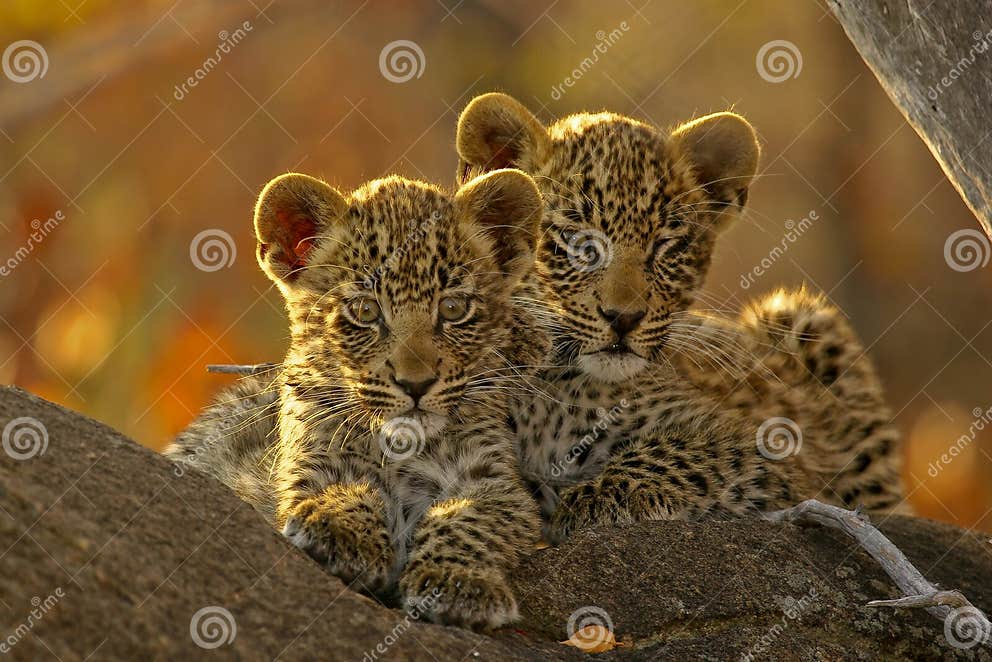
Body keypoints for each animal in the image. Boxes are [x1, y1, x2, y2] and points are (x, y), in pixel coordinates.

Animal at [166, 167, 548, 629]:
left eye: (454, 309)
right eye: (365, 311)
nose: (415, 384)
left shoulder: (496, 482)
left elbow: (470, 519)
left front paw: (459, 585)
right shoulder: (312, 460)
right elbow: (346, 491)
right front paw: (339, 534)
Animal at [454, 92, 908, 543]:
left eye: (666, 245)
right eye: (578, 243)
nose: (624, 318)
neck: (552, 389)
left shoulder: (771, 448)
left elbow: (679, 454)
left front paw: (597, 497)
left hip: (801, 318)